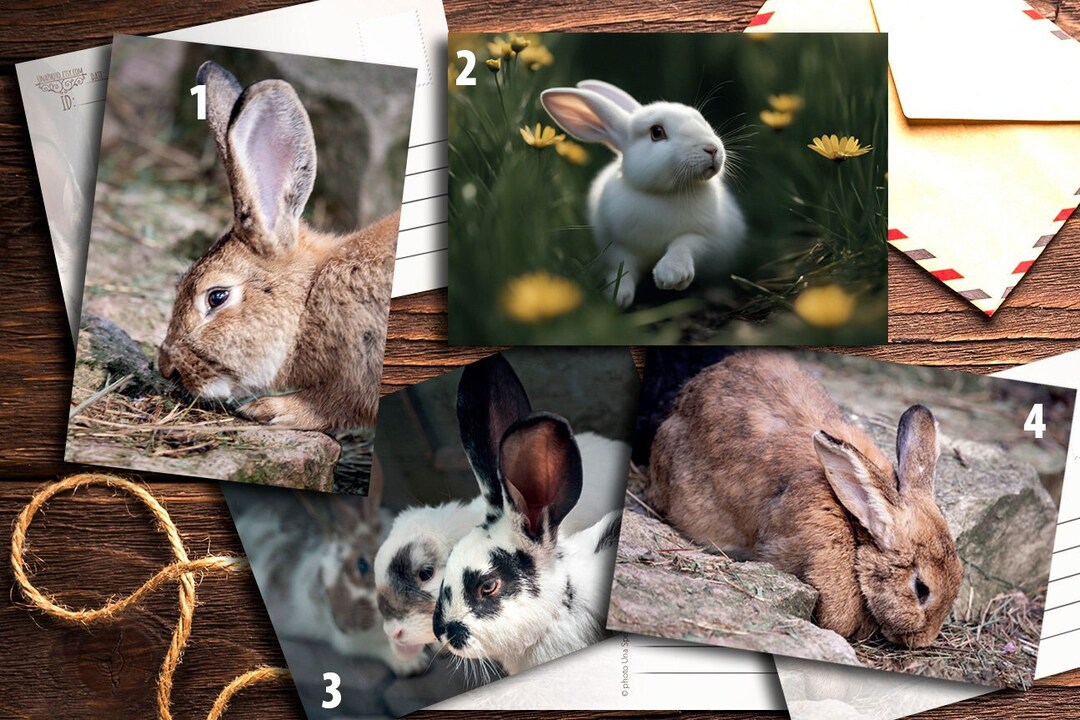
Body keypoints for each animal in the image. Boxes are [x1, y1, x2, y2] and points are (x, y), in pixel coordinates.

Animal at [231, 458, 429, 677]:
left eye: (362, 565)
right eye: (321, 583)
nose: (343, 625)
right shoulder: (355, 642)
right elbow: (380, 647)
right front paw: (413, 664)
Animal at [541, 79, 746, 308]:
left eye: (700, 118)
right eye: (656, 132)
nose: (711, 149)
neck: (663, 194)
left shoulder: (705, 237)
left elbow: (685, 244)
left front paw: (672, 275)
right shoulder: (618, 246)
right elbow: (622, 267)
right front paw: (618, 296)